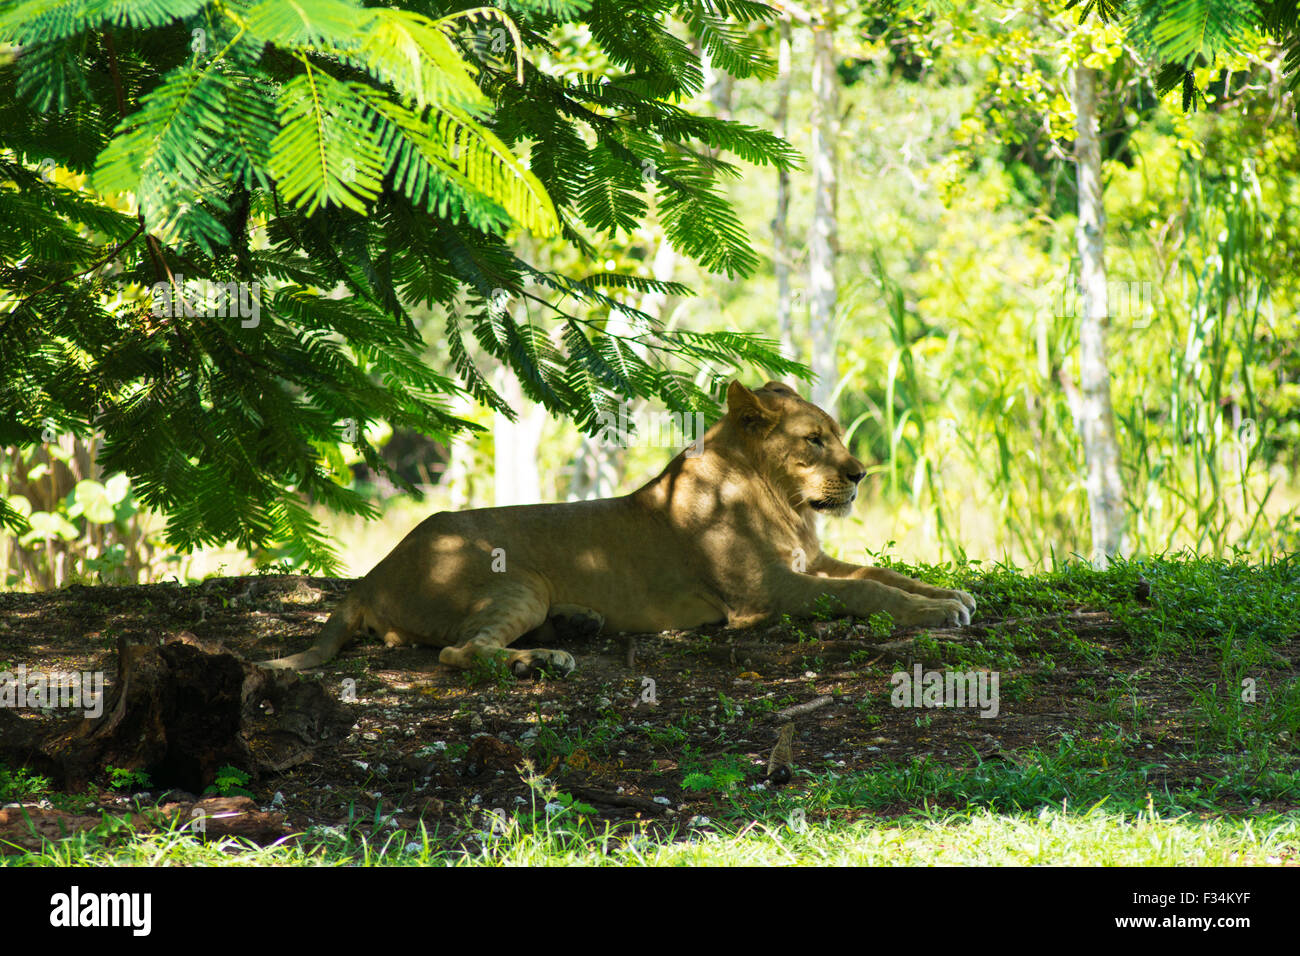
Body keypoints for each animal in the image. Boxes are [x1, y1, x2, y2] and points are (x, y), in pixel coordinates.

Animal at [261, 381, 974, 676]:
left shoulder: (807, 564)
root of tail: (372, 574)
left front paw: (951, 597)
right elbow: (862, 590)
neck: (784, 505)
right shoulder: (762, 595)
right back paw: (543, 661)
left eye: (837, 435)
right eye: (814, 440)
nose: (860, 474)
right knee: (459, 651)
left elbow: (880, 570)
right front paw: (935, 613)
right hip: (514, 580)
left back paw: (579, 623)